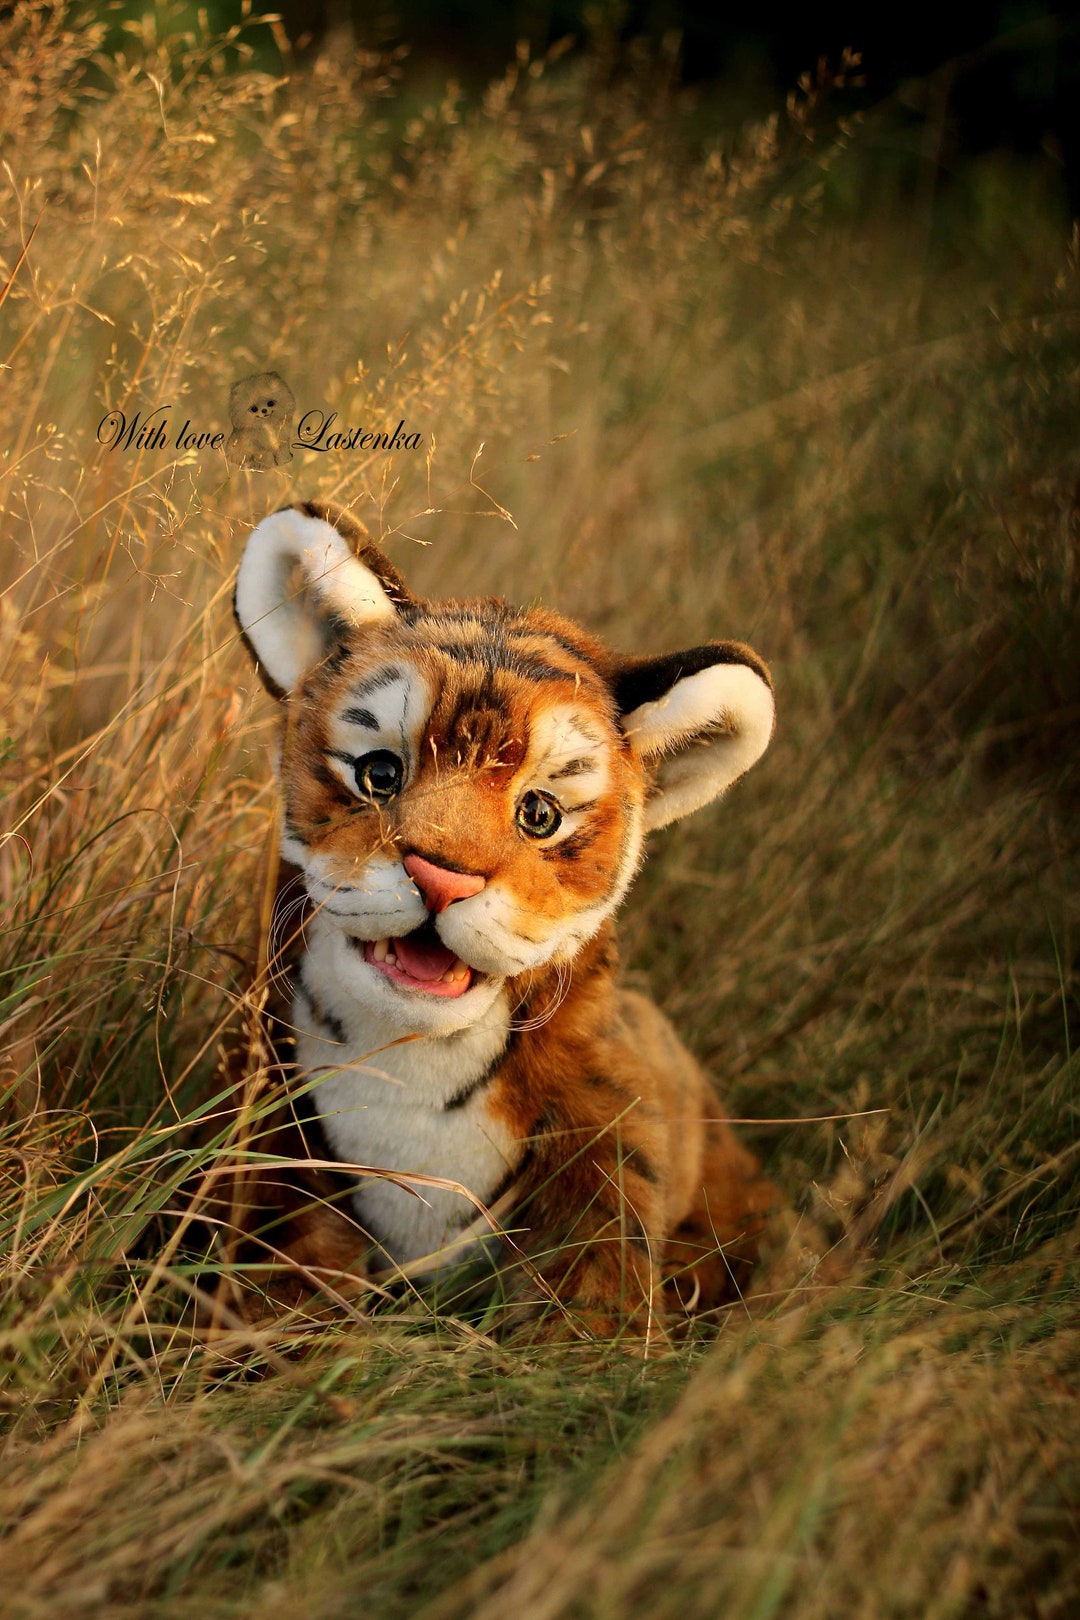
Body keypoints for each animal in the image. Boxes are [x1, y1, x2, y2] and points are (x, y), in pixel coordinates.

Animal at [229, 499, 783, 1336]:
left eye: (539, 814)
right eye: (380, 773)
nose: (442, 878)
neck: (410, 1063)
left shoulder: (609, 1136)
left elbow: (594, 1294)